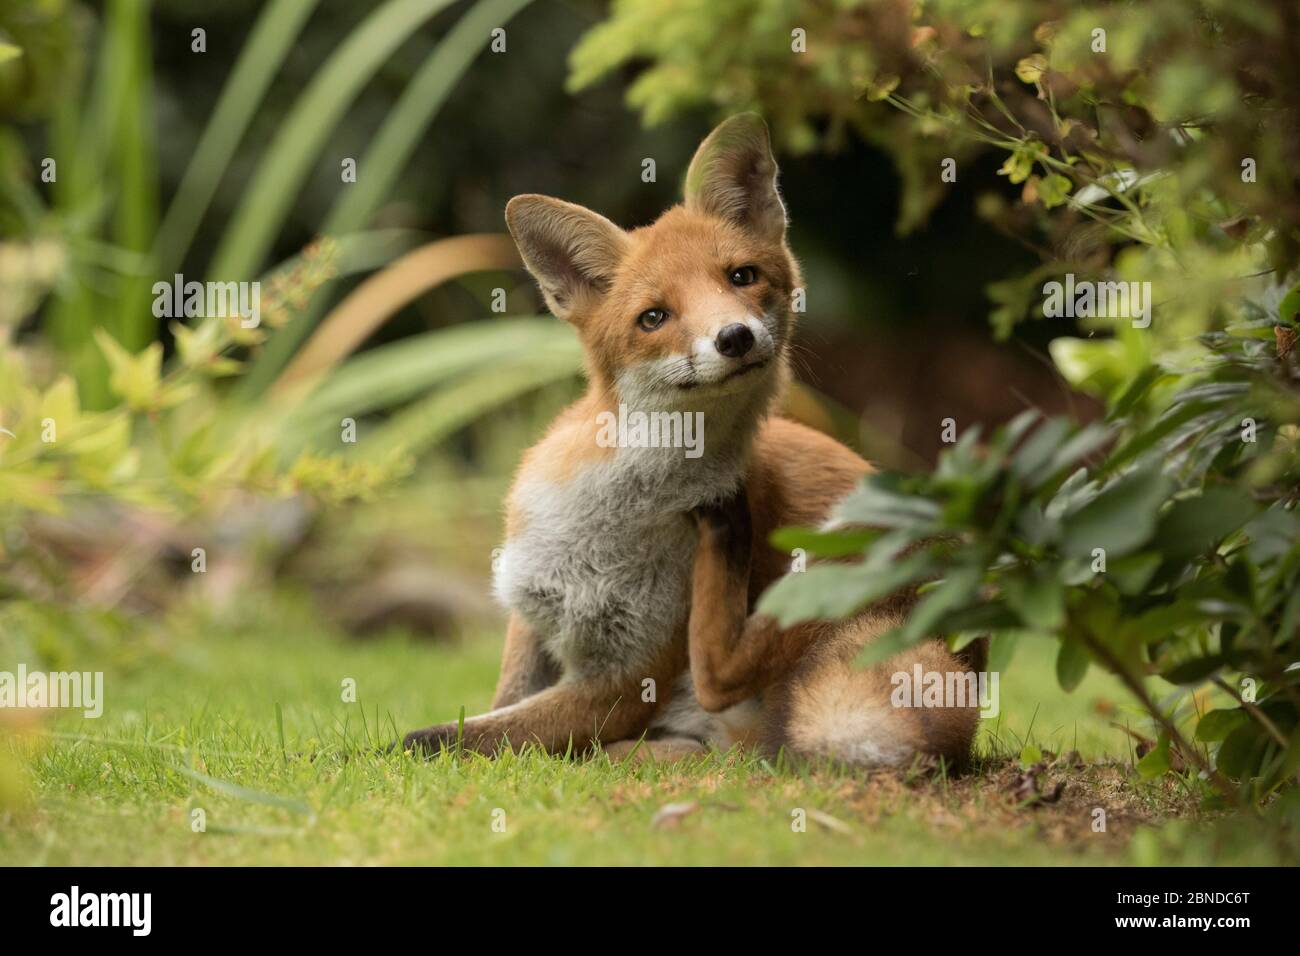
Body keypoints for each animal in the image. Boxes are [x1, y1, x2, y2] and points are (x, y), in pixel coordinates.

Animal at [403, 114, 982, 768]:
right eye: (654, 317)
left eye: (741, 277)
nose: (734, 337)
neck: (610, 519)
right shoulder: (532, 611)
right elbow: (495, 709)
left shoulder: (628, 677)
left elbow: (444, 737)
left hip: (838, 578)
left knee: (722, 676)